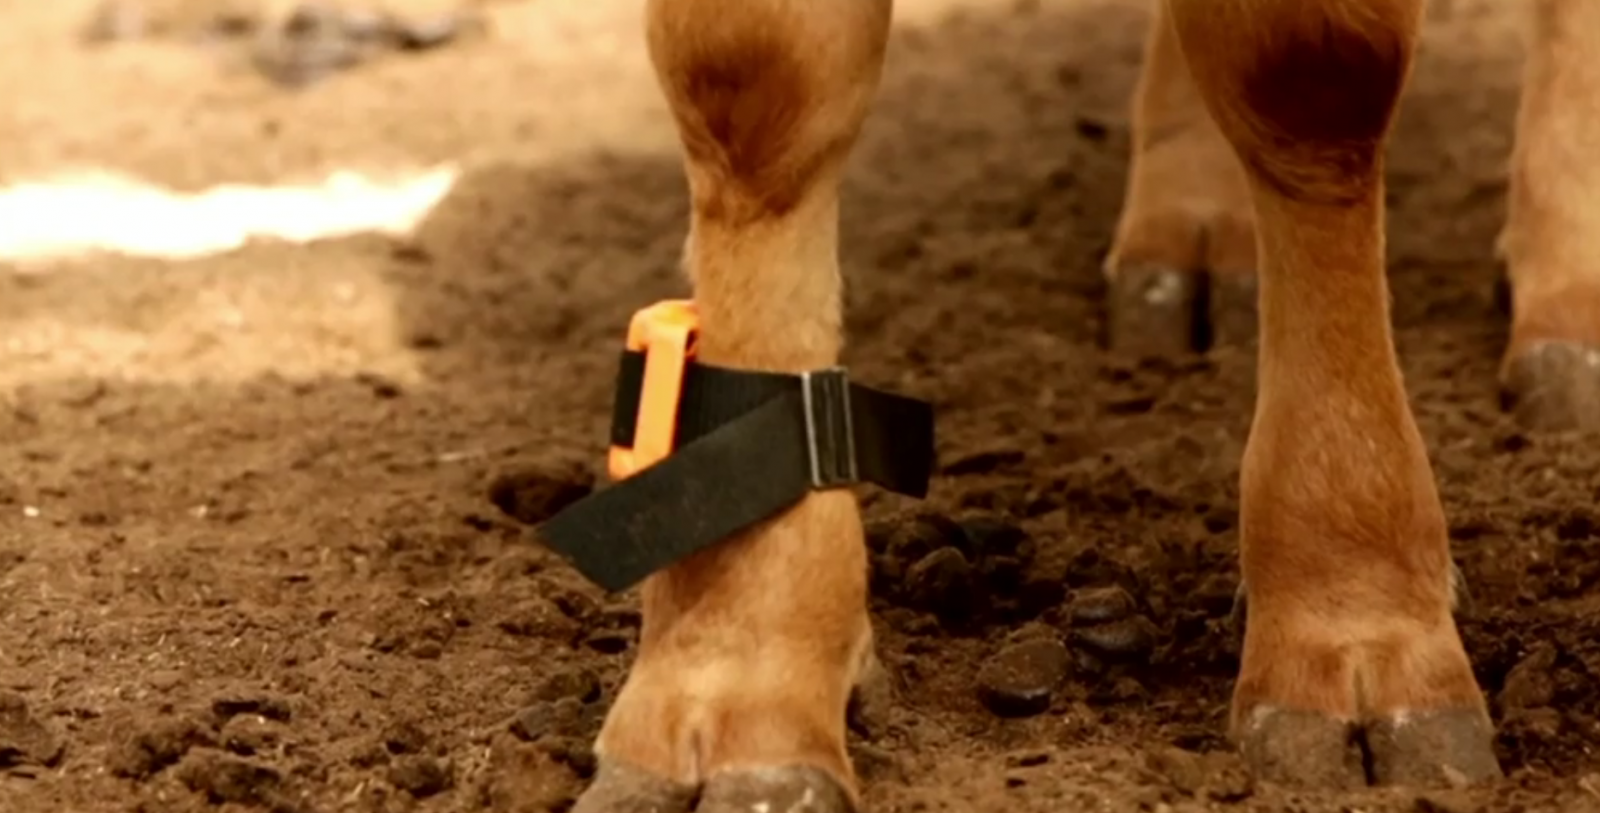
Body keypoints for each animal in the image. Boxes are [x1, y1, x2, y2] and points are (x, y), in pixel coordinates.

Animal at [555, 0, 1600, 811]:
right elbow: (755, 74)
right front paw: (735, 661)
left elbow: (1305, 69)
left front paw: (1352, 603)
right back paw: (1191, 224)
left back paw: (1570, 304)